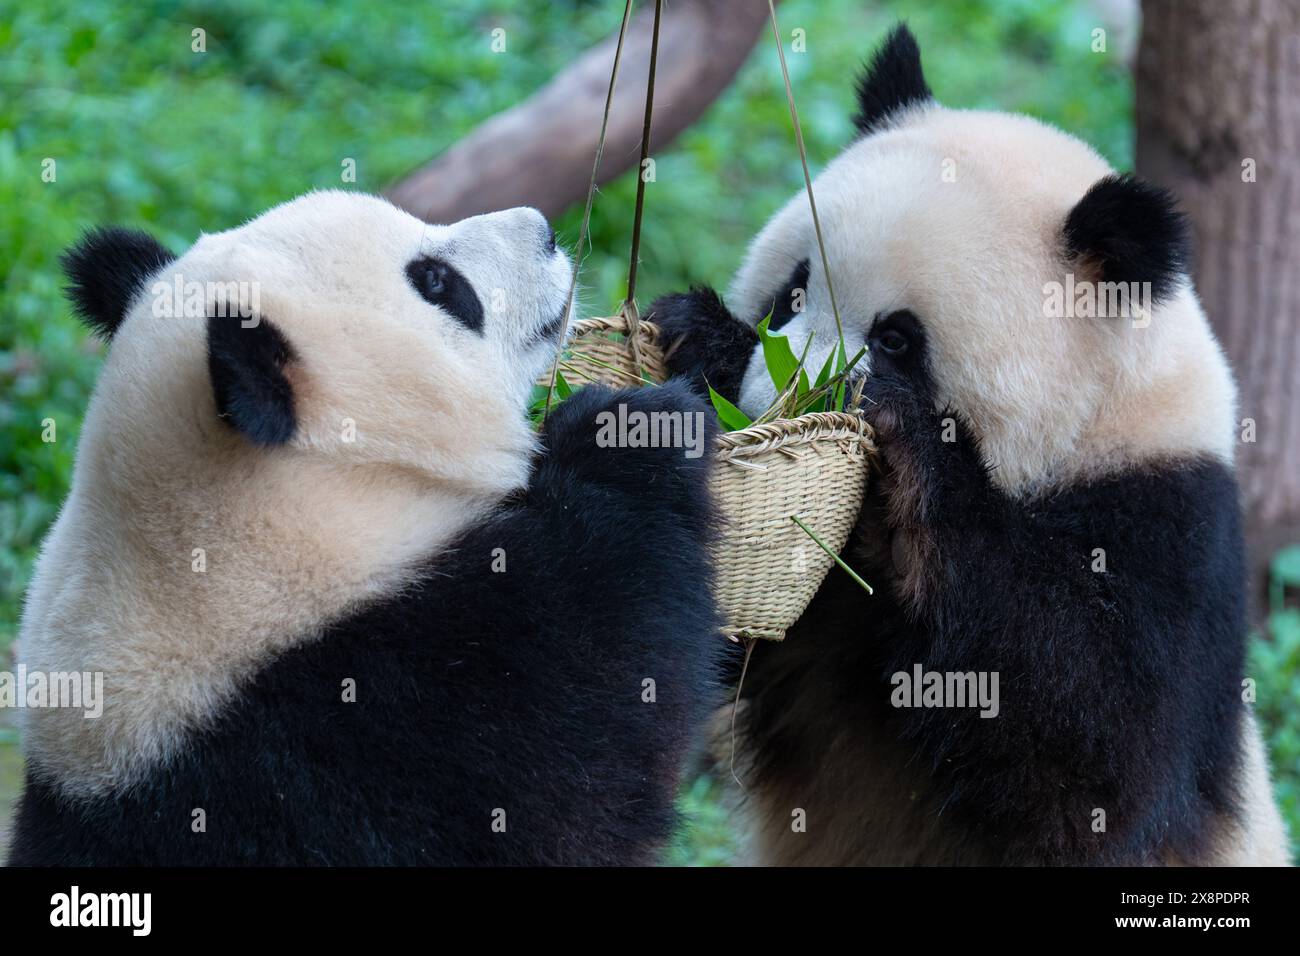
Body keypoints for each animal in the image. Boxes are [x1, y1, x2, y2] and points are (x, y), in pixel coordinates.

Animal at [7, 190, 725, 866]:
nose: (546, 229)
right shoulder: (385, 728)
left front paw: (706, 337)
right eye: (437, 284)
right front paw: (633, 432)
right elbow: (598, 717)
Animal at [652, 27, 1291, 866]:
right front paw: (697, 343)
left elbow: (1095, 760)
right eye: (790, 295)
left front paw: (903, 446)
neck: (1096, 425)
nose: (767, 407)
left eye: (896, 339)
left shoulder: (1170, 522)